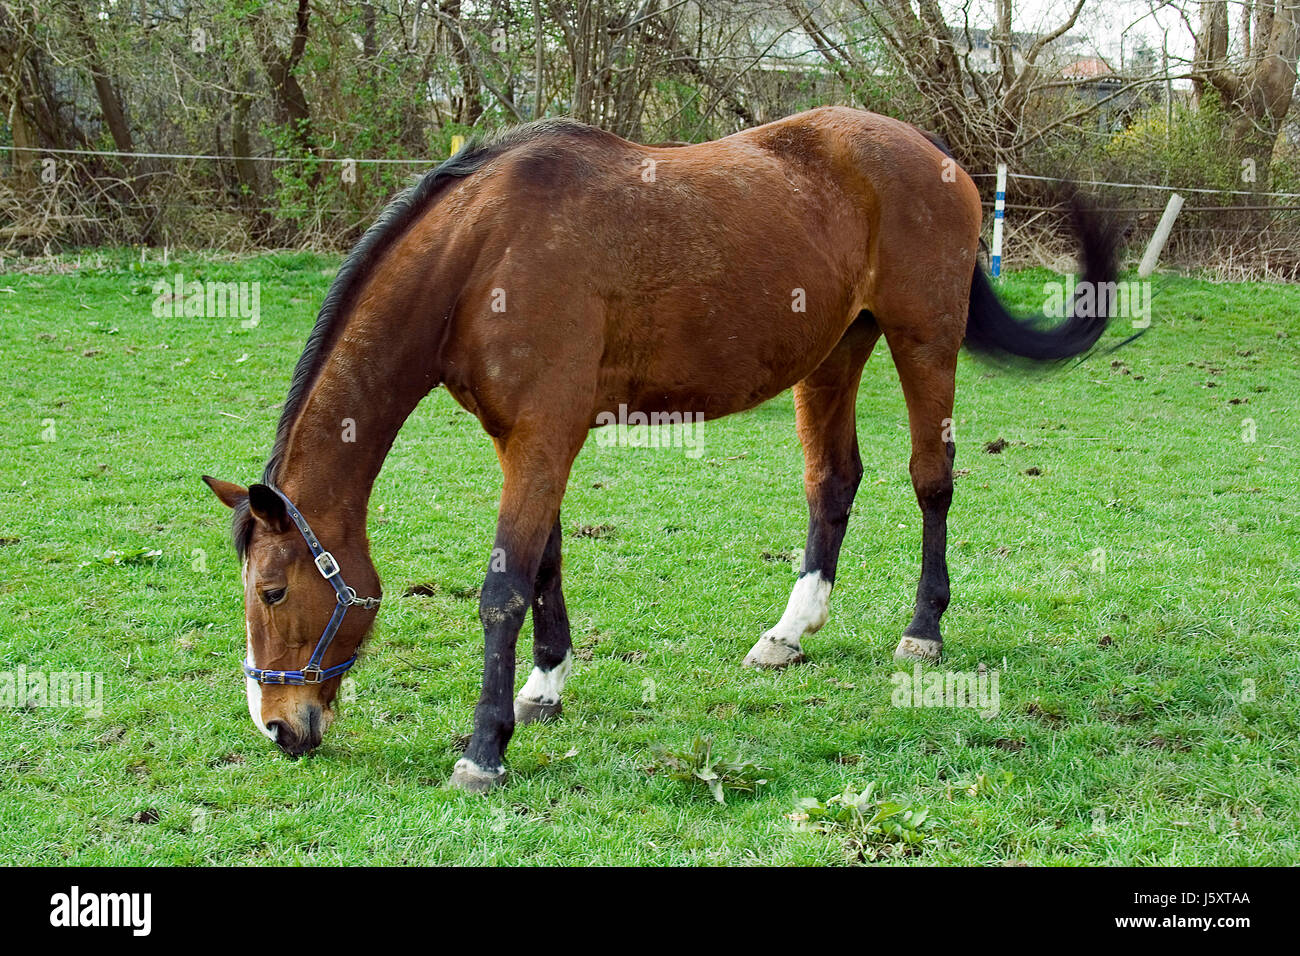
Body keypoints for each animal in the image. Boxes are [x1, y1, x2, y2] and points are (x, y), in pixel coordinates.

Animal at [203, 106, 1118, 791]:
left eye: (274, 592)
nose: (277, 727)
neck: (482, 254)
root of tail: (936, 155)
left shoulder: (541, 437)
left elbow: (503, 588)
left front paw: (484, 750)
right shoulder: (529, 439)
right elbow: (544, 565)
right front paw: (544, 688)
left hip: (924, 338)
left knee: (932, 479)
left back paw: (924, 629)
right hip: (833, 352)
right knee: (833, 482)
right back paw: (789, 632)